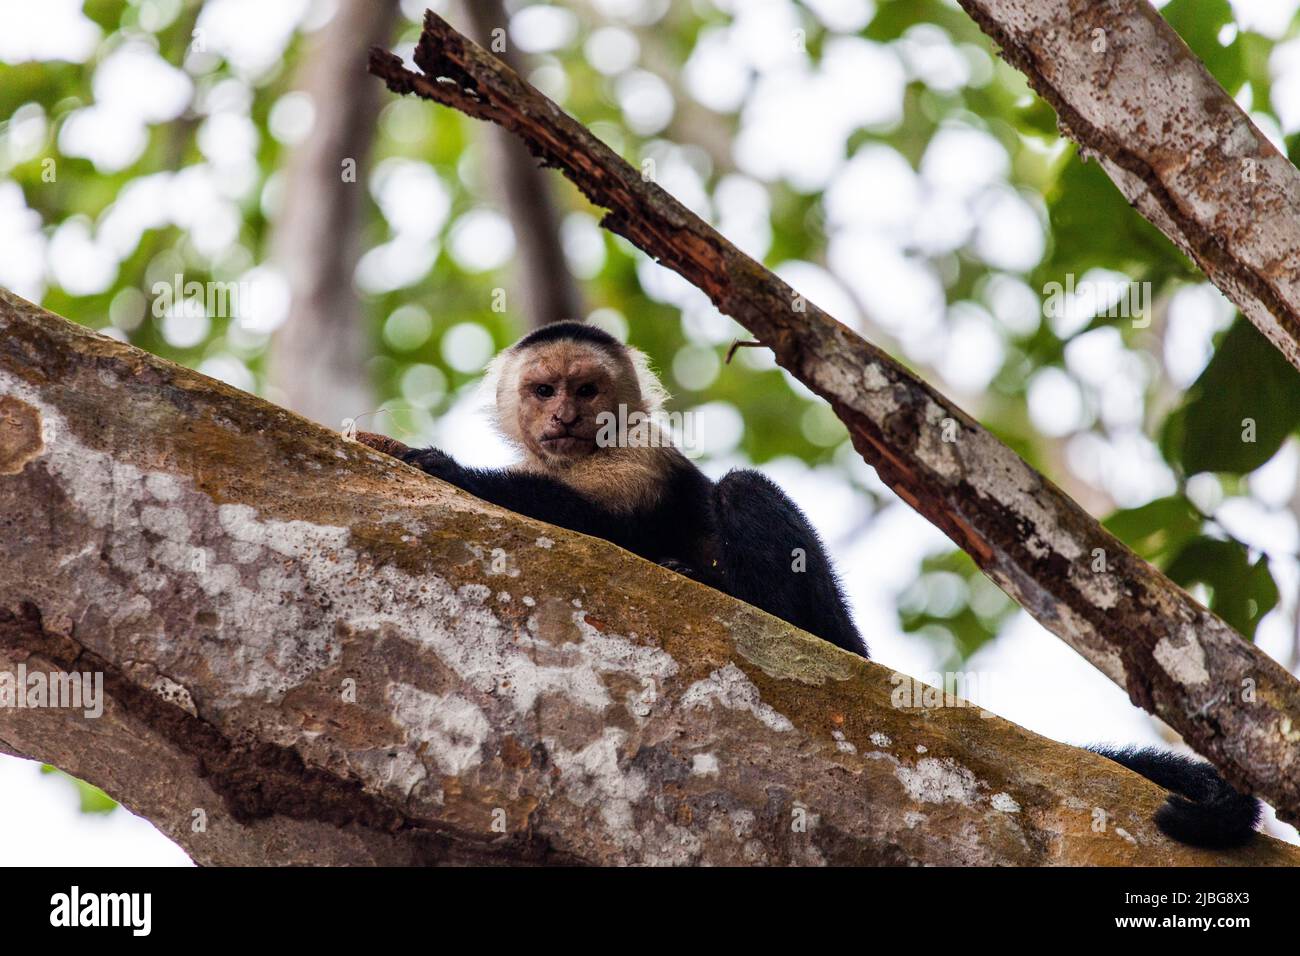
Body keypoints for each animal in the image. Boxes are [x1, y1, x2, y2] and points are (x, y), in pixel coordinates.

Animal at [357, 320, 1261, 850]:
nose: (565, 418)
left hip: (826, 616)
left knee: (741, 491)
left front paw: (434, 463)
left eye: (587, 389)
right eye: (543, 389)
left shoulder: (637, 456)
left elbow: (605, 518)